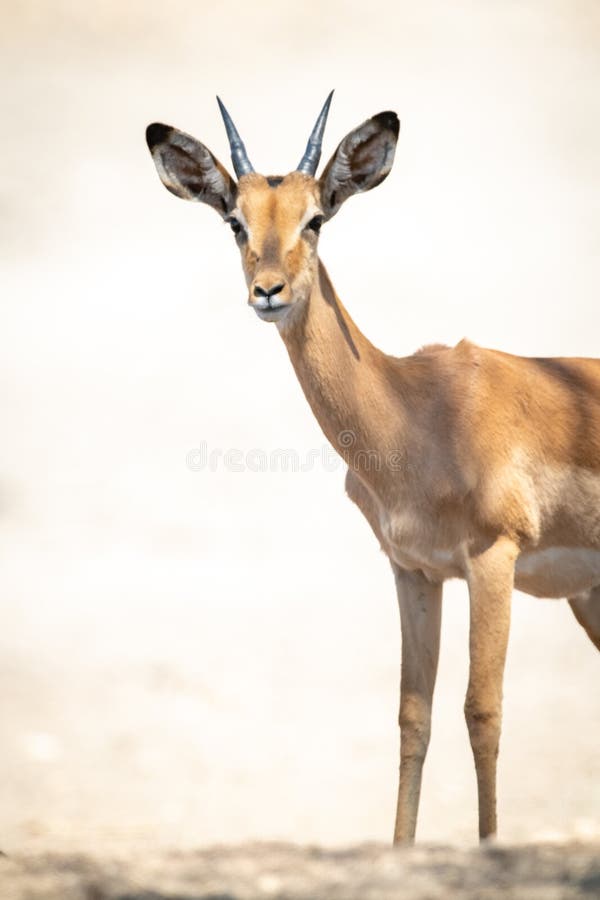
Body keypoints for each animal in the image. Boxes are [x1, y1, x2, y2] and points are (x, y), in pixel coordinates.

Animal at [146, 93, 600, 843]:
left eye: (316, 218)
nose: (269, 291)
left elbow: (482, 712)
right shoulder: (414, 570)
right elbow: (413, 717)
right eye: (236, 220)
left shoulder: (492, 559)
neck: (418, 412)